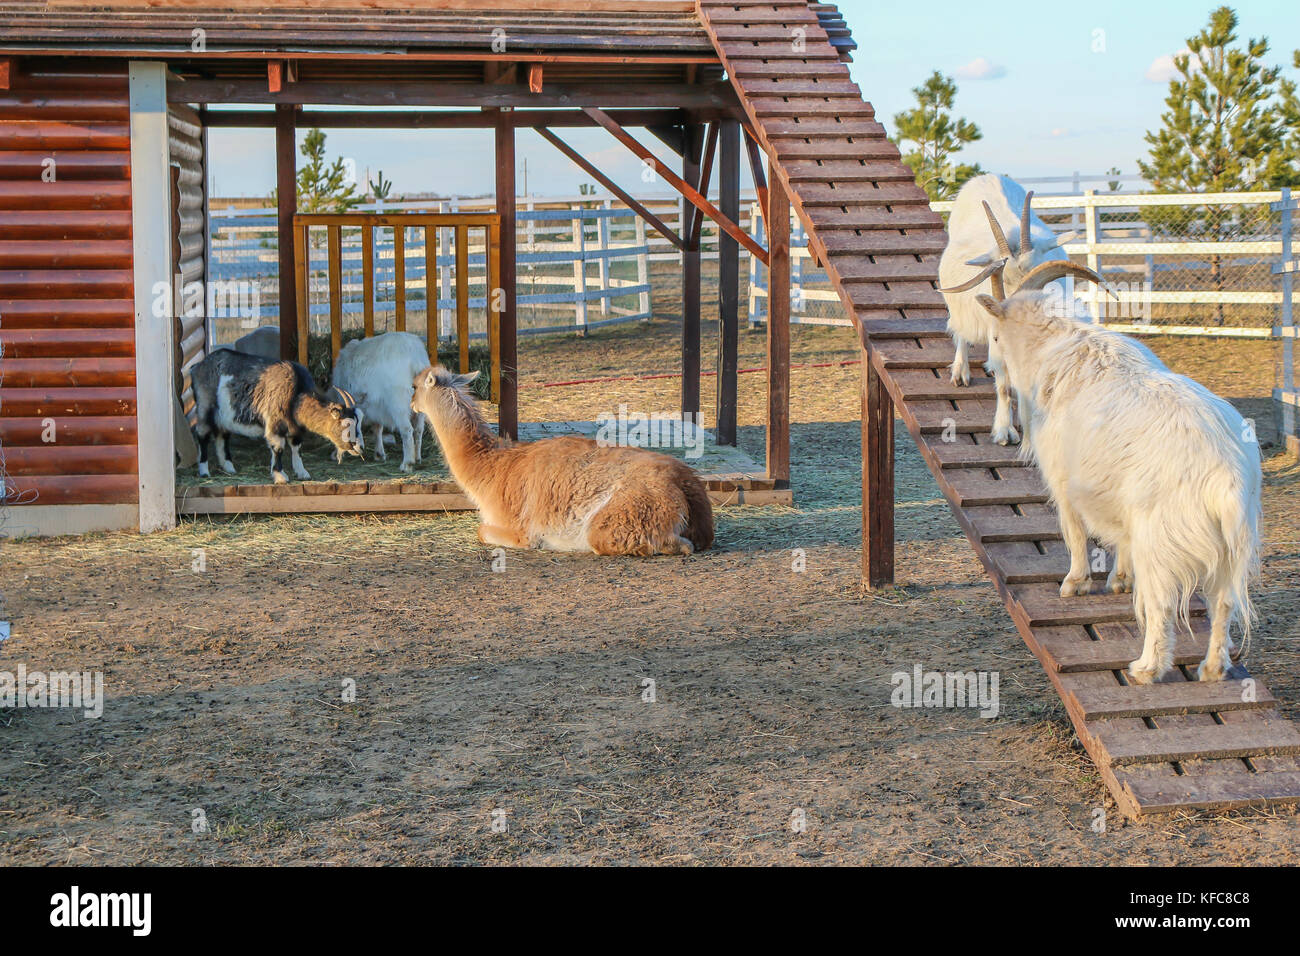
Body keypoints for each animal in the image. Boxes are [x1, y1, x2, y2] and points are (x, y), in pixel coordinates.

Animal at [191, 349, 364, 484]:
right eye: (347, 423)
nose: (360, 447)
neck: (296, 395)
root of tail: (197, 367)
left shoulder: (295, 427)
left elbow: (296, 448)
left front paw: (302, 473)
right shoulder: (275, 423)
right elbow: (278, 448)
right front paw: (280, 476)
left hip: (224, 416)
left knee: (222, 435)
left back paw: (228, 467)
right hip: (205, 406)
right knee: (202, 434)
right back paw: (204, 471)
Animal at [331, 331, 430, 472]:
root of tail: (415, 360)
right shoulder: (376, 407)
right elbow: (377, 428)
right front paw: (379, 454)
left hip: (398, 403)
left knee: (407, 430)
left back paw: (407, 464)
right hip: (420, 405)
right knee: (418, 430)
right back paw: (417, 458)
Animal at [411, 366, 714, 555]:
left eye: (413, 386)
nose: (412, 404)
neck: (495, 466)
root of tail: (686, 483)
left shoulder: (518, 530)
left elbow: (482, 531)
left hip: (624, 516)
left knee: (675, 545)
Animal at [939, 174, 1078, 445]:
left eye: (1040, 271)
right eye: (1003, 278)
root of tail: (986, 177)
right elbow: (1004, 384)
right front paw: (1004, 430)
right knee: (960, 331)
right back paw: (961, 372)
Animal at [968, 263, 1262, 684]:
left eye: (995, 334)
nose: (990, 367)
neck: (1056, 346)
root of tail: (1227, 474)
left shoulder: (1063, 479)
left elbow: (1074, 532)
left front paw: (1074, 584)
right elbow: (1119, 538)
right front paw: (1120, 579)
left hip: (1160, 539)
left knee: (1160, 603)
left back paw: (1146, 669)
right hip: (1229, 545)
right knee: (1222, 602)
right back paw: (1211, 669)